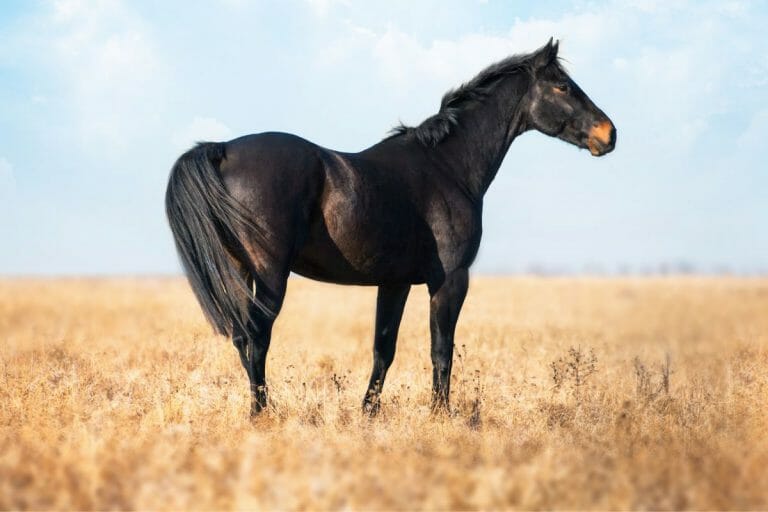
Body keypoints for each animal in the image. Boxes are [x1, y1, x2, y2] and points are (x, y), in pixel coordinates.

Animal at [165, 38, 616, 416]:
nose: (609, 134)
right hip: (270, 276)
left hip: (242, 273)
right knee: (257, 338)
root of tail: (223, 150)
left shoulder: (394, 283)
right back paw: (262, 413)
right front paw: (441, 415)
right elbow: (441, 349)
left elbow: (384, 348)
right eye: (562, 87)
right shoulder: (451, 280)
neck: (446, 167)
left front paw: (369, 412)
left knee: (244, 339)